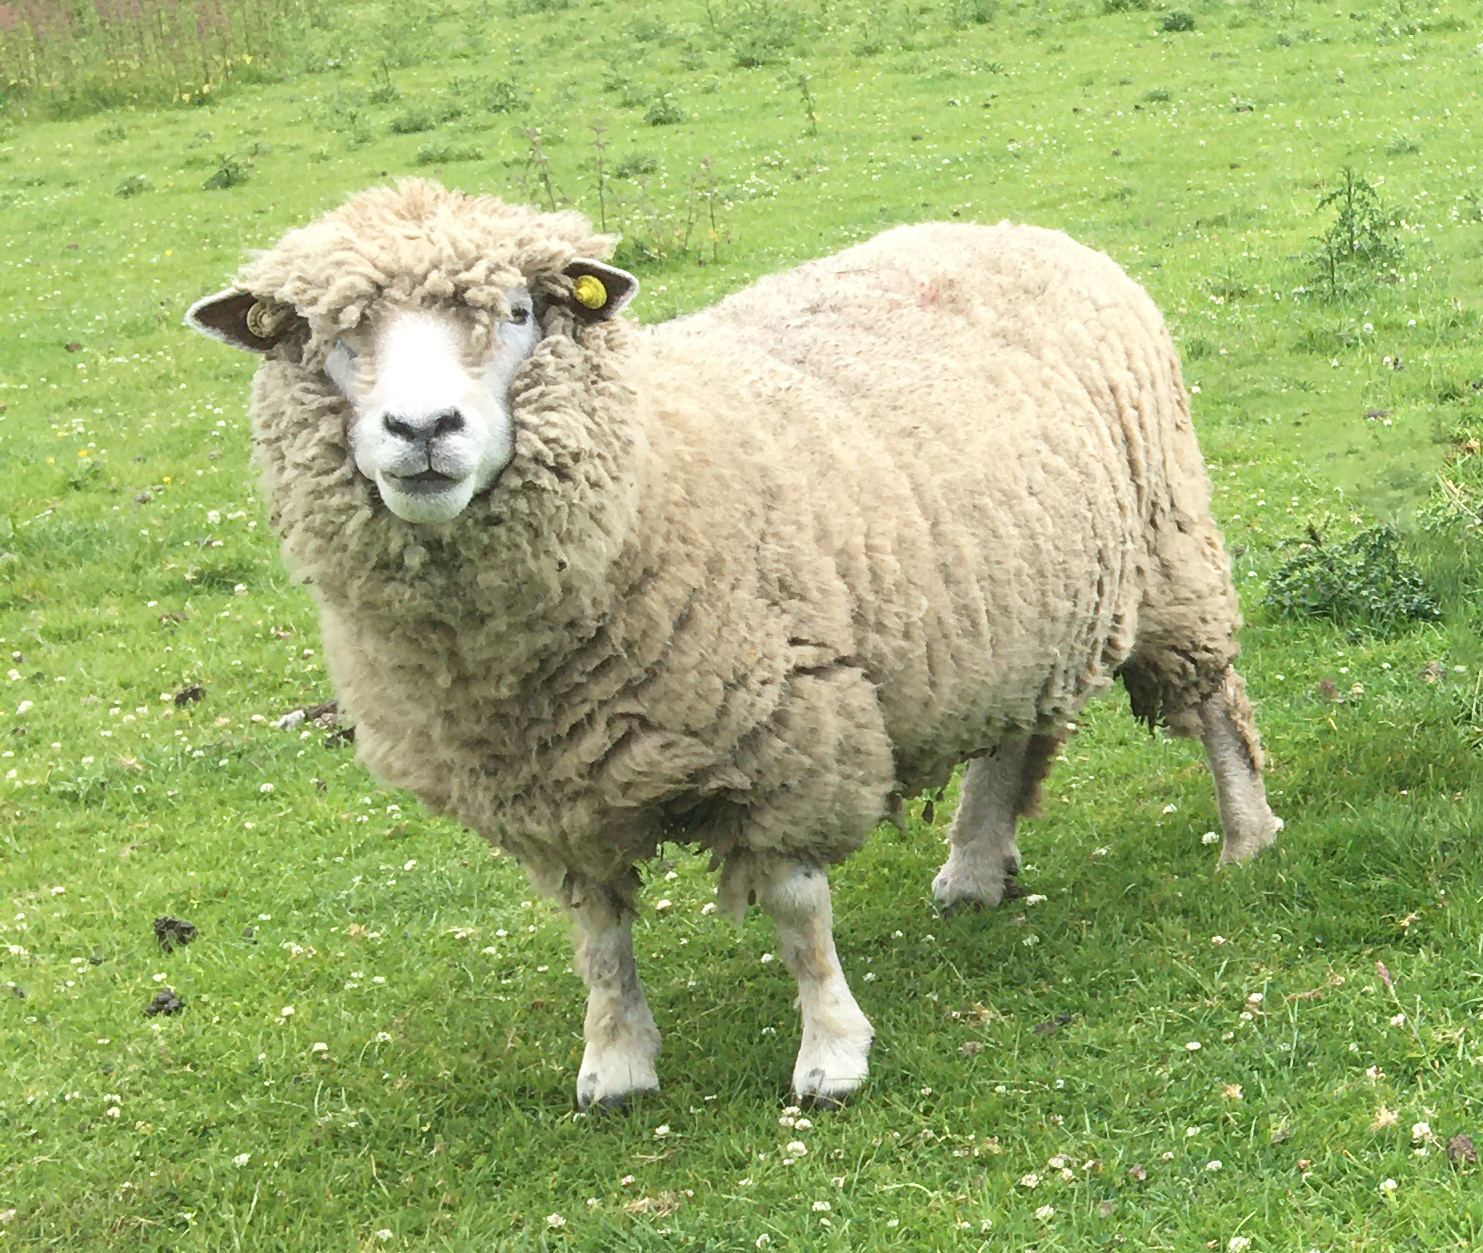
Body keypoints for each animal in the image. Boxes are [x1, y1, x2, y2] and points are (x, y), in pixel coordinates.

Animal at [186, 178, 1282, 1110]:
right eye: (319, 335)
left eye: (521, 312)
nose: (421, 429)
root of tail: (1019, 229)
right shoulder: (553, 796)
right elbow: (598, 936)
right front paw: (615, 1063)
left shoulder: (789, 730)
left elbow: (797, 912)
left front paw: (832, 1055)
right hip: (1013, 601)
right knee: (1013, 735)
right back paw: (974, 866)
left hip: (1168, 551)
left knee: (1212, 702)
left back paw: (1245, 837)